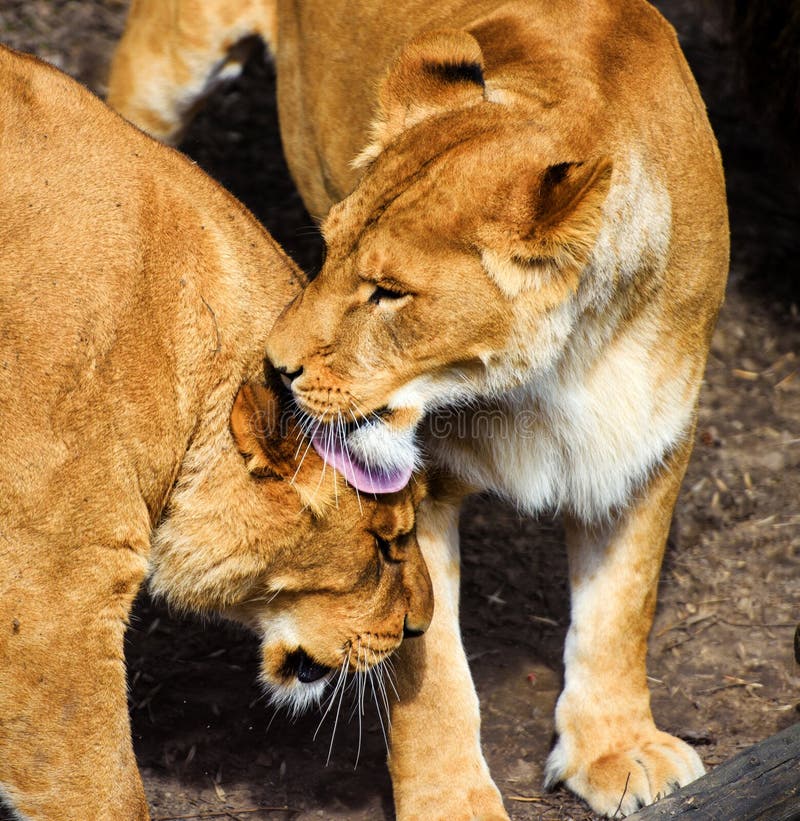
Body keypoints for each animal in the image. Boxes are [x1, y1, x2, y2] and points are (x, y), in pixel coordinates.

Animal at [107, 0, 730, 817]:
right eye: (328, 250)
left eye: (389, 292)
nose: (274, 366)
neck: (549, 376)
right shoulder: (412, 494)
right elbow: (429, 674)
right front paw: (451, 801)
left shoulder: (646, 444)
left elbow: (622, 606)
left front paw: (615, 748)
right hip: (164, 68)